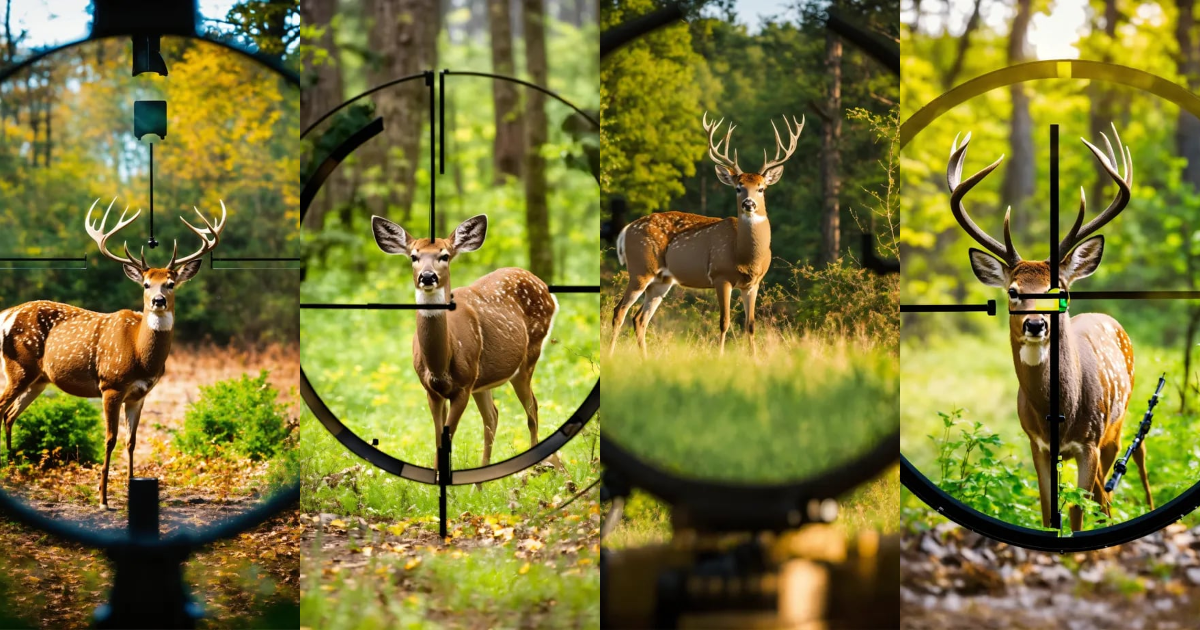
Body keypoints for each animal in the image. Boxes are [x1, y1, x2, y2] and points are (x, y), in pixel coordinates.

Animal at [0, 198, 226, 509]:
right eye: (146, 284)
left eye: (170, 283)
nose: (158, 301)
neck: (140, 354)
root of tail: (6, 314)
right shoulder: (110, 384)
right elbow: (110, 439)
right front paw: (103, 499)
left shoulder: (140, 393)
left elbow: (131, 441)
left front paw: (131, 488)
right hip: (18, 367)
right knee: (2, 408)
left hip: (39, 379)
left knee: (10, 414)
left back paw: (12, 469)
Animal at [370, 214, 564, 477]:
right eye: (413, 256)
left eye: (444, 255)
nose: (427, 277)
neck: (440, 363)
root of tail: (545, 287)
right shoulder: (432, 390)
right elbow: (438, 438)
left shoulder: (462, 386)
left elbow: (447, 437)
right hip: (482, 379)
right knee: (493, 416)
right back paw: (482, 479)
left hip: (527, 357)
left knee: (532, 408)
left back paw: (533, 468)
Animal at [610, 113, 804, 356]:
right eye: (738, 187)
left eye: (761, 188)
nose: (748, 204)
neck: (743, 256)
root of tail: (626, 230)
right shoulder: (721, 276)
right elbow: (724, 322)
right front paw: (720, 357)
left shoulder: (753, 283)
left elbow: (750, 325)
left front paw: (754, 359)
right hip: (640, 270)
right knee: (619, 311)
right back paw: (610, 354)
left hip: (661, 280)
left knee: (639, 319)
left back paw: (644, 358)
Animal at [948, 125, 1152, 532]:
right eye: (1012, 291)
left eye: (1059, 291)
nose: (1035, 323)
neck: (1059, 413)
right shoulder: (1036, 443)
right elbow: (1048, 514)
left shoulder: (1089, 442)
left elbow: (1076, 514)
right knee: (1104, 495)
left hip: (1117, 426)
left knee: (1108, 492)